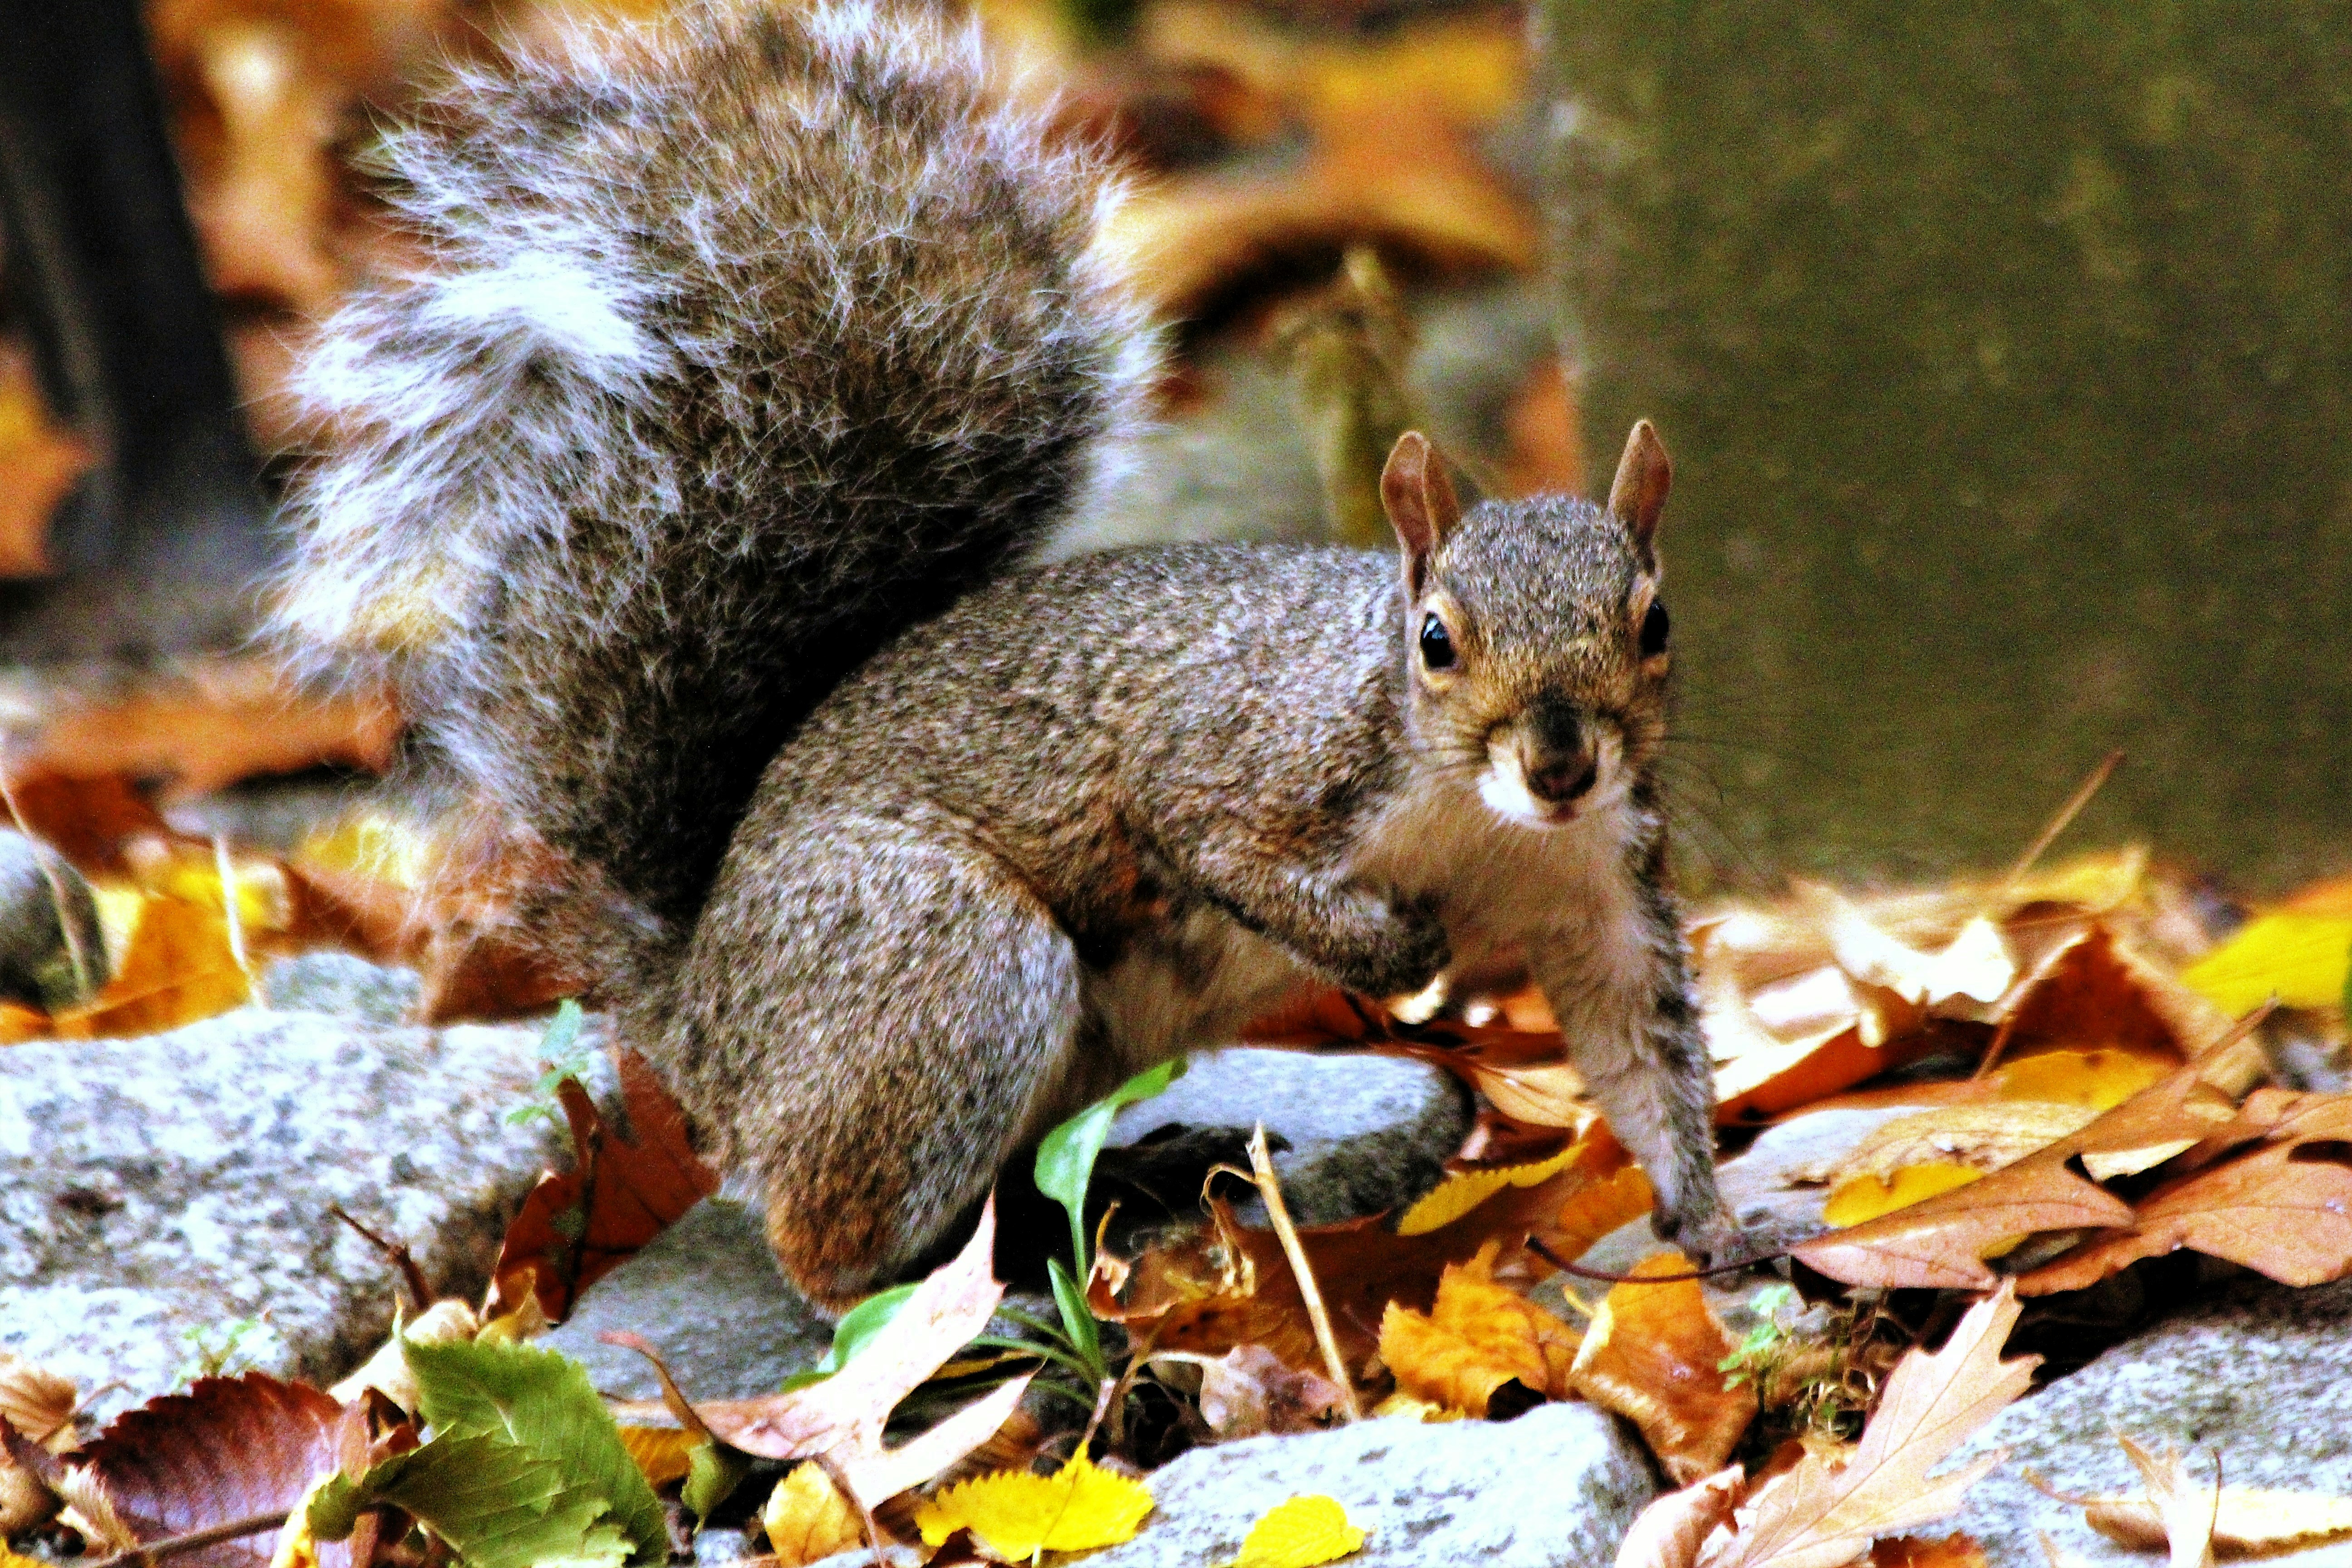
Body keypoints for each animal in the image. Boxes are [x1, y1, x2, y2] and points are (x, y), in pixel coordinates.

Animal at [277, 0, 1736, 1309]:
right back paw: (955, 1284)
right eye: (1436, 640)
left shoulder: (1598, 888)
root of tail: (699, 1007)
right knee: (824, 1236)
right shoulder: (1233, 756)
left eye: (1655, 624)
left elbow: (1641, 1052)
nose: (1561, 764)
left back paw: (1129, 1177)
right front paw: (1388, 950)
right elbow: (1216, 844)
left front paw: (1715, 1227)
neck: (1477, 818)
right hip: (942, 957)